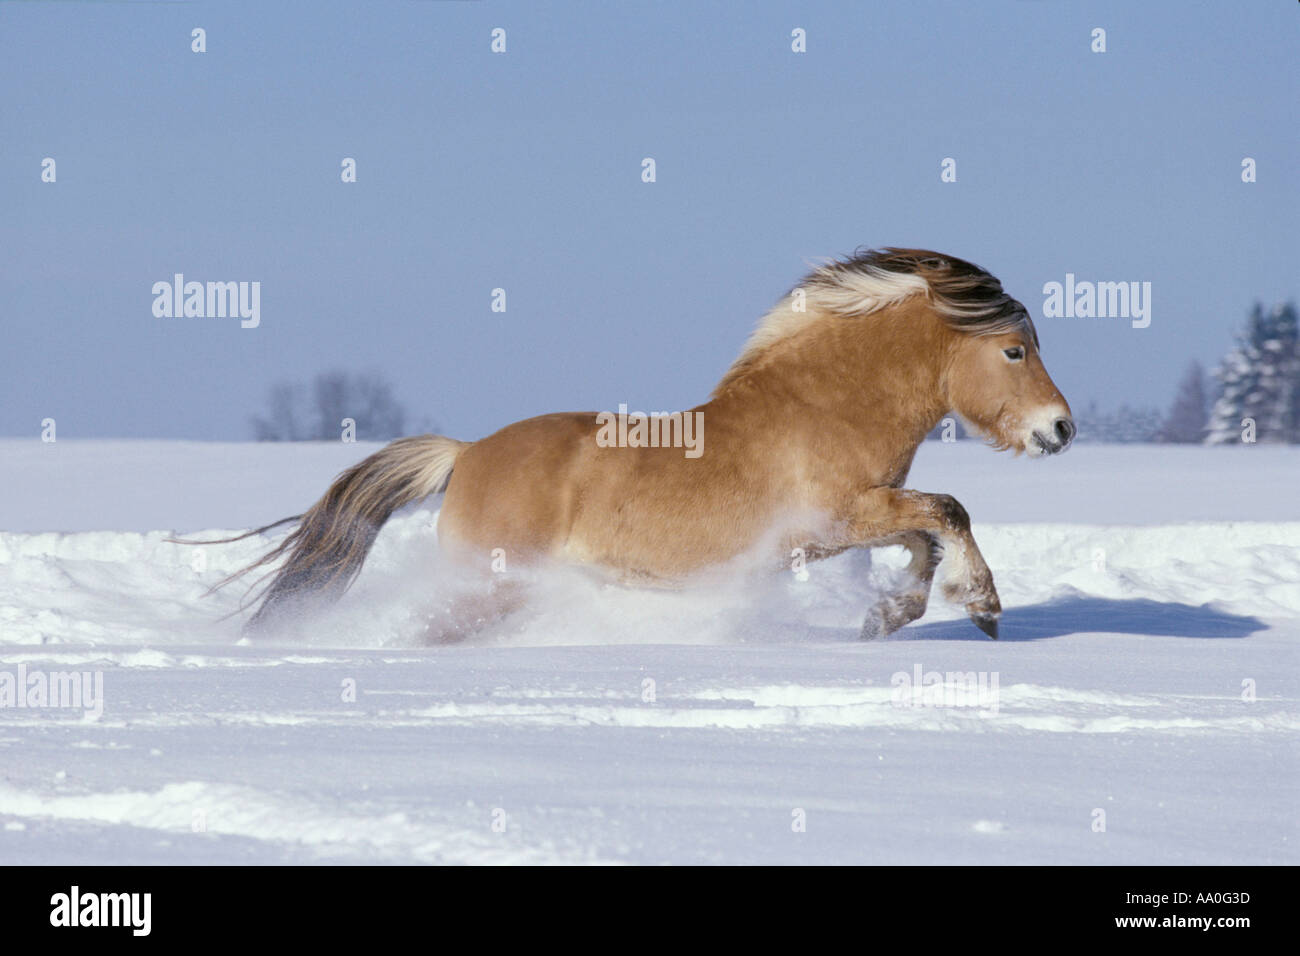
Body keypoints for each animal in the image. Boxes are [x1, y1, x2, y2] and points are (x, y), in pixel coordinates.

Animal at [215, 247, 1074, 641]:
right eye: (1013, 351)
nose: (1060, 428)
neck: (822, 407)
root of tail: (464, 454)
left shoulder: (858, 520)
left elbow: (926, 535)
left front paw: (891, 615)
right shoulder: (834, 520)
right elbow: (949, 510)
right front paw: (986, 607)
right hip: (491, 584)